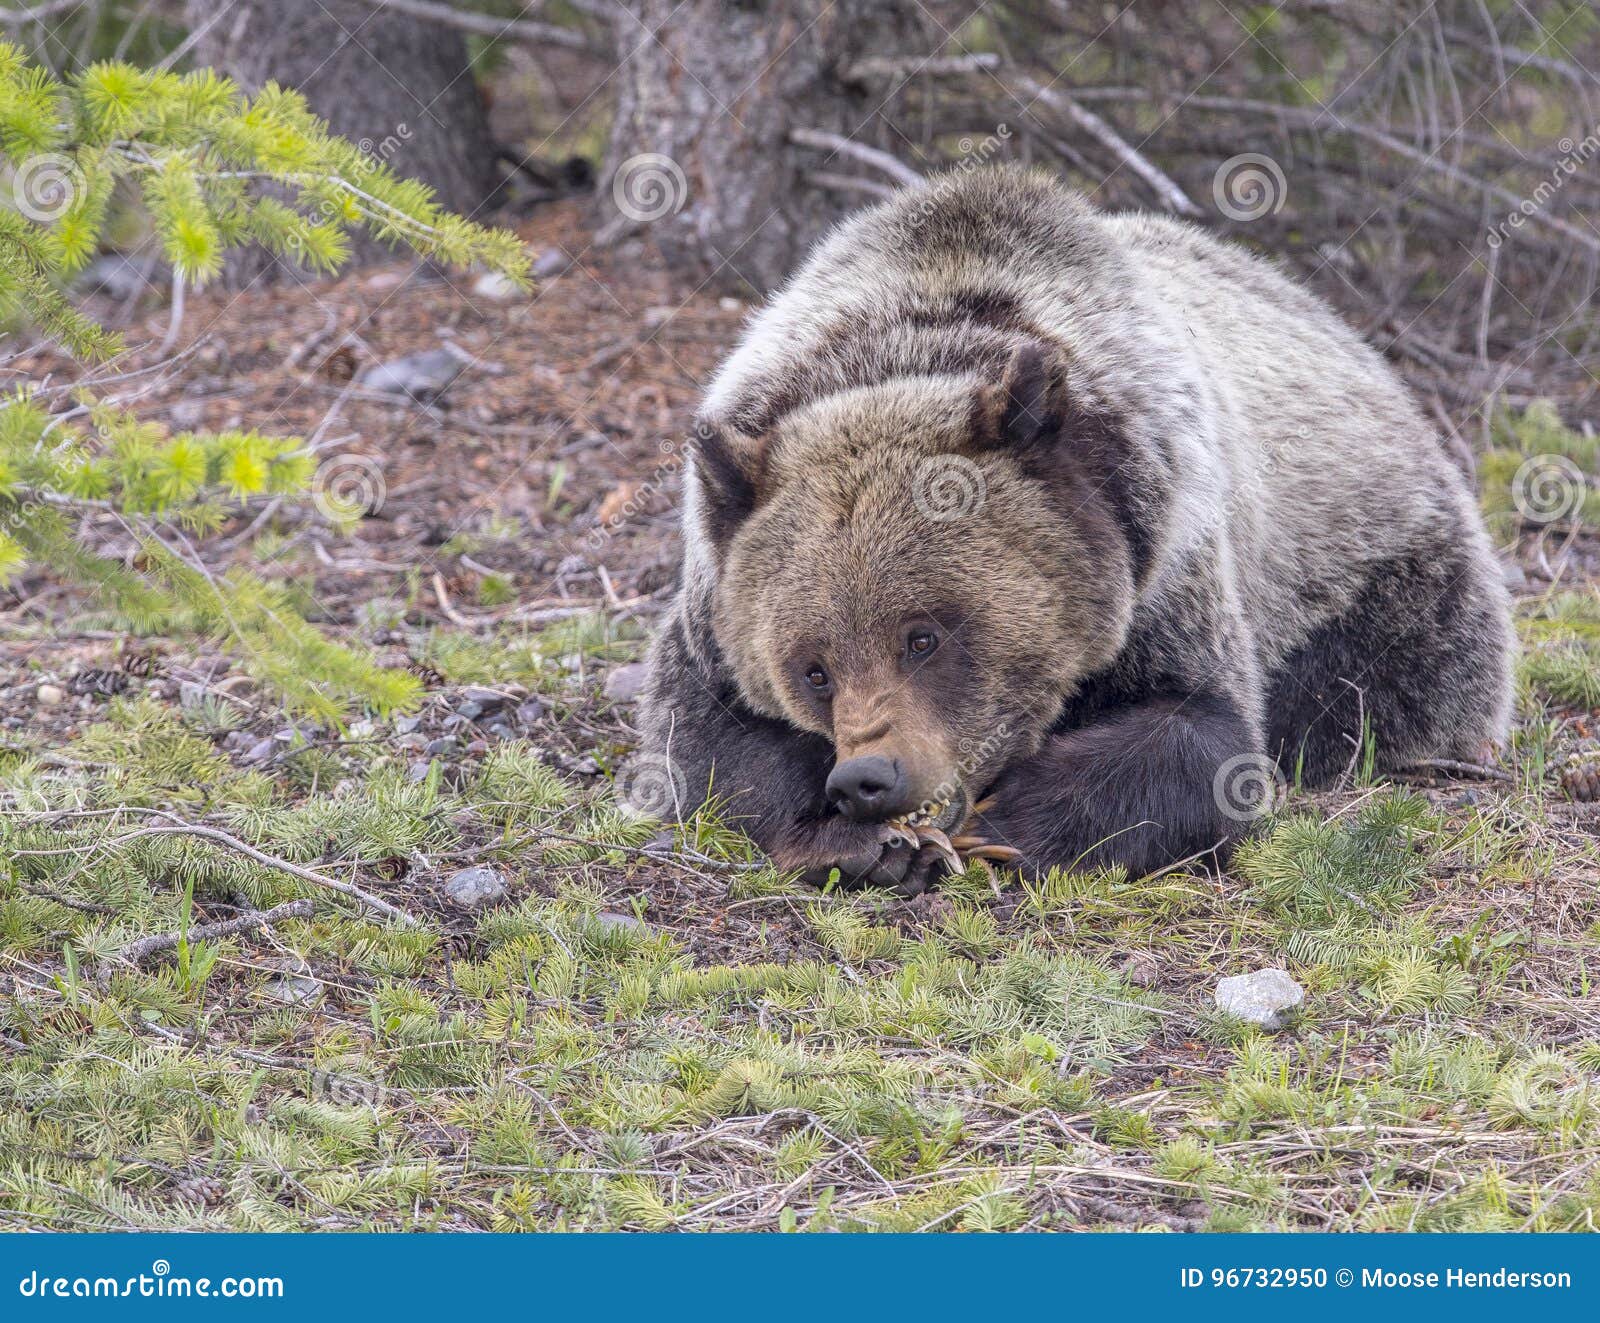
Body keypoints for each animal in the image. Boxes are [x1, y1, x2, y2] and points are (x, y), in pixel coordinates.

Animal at [636, 166, 1514, 892]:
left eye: (924, 635)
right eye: (812, 667)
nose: (870, 778)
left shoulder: (1166, 550)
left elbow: (1204, 733)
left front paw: (1012, 818)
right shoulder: (714, 582)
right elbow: (704, 740)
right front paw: (859, 841)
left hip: (1378, 565)